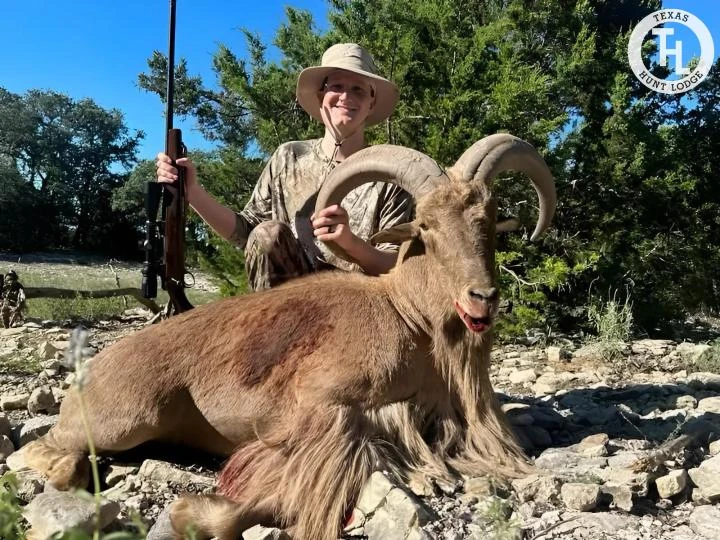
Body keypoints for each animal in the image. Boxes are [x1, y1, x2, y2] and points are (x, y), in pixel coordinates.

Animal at [24, 134, 555, 540]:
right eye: (425, 226)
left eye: (489, 221)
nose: (481, 298)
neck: (407, 317)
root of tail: (89, 371)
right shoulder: (323, 408)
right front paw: (190, 510)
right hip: (127, 417)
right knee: (47, 449)